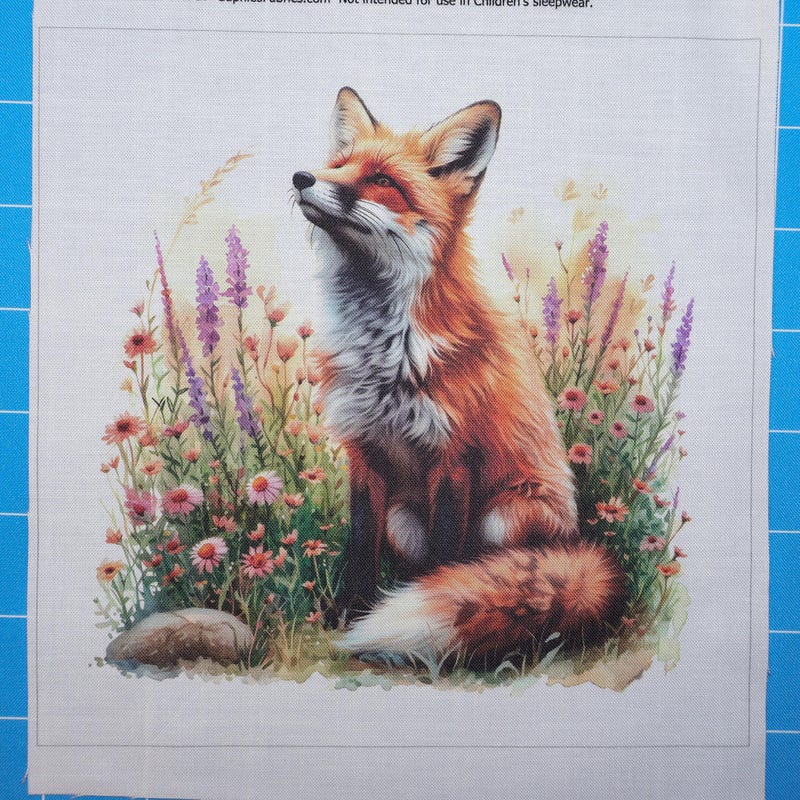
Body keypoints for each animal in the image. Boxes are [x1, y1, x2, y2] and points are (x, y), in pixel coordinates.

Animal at [292, 88, 627, 664]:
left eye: (382, 179)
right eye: (337, 165)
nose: (301, 177)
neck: (387, 350)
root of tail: (576, 543)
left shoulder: (453, 456)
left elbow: (447, 562)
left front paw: (438, 613)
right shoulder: (365, 451)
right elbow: (359, 548)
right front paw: (351, 614)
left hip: (504, 515)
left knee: (496, 575)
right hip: (404, 521)